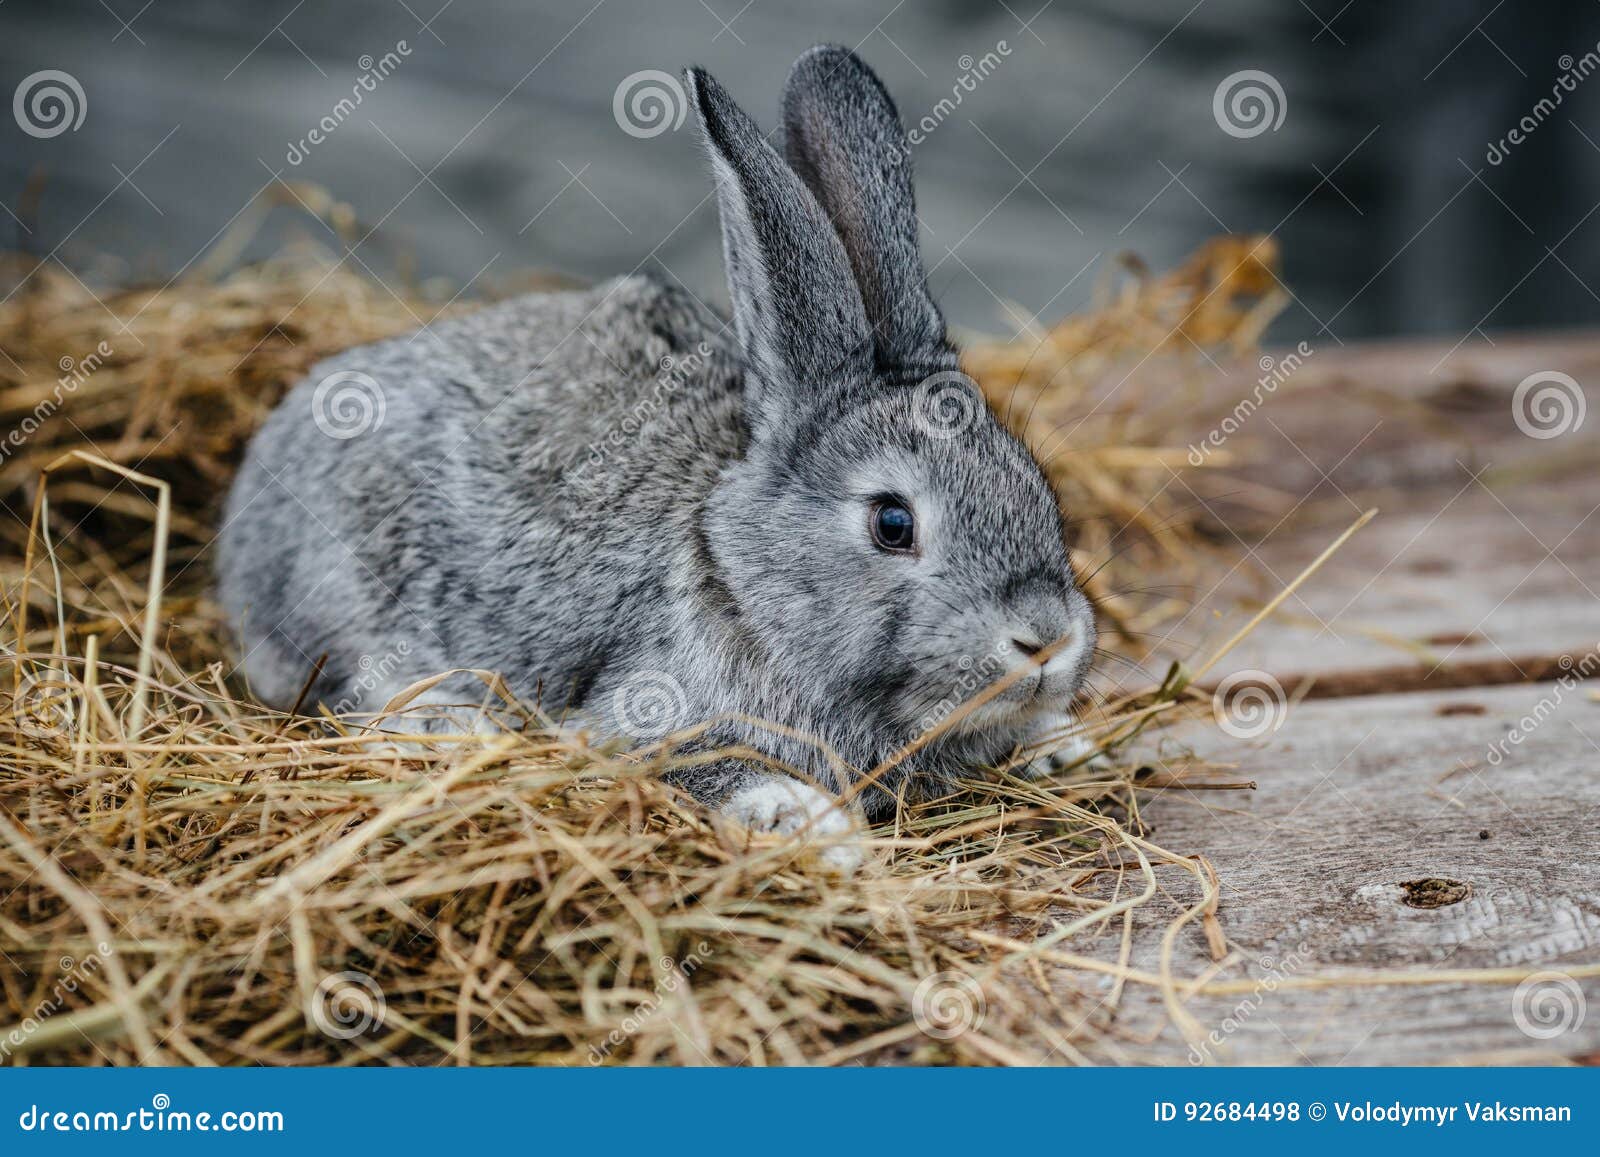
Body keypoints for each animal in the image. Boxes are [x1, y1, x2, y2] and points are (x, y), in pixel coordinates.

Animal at [215, 45, 1098, 865]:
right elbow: (694, 761)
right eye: (891, 523)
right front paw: (809, 824)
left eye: (1036, 485)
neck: (740, 578)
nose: (1046, 639)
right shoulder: (631, 715)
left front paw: (1062, 743)